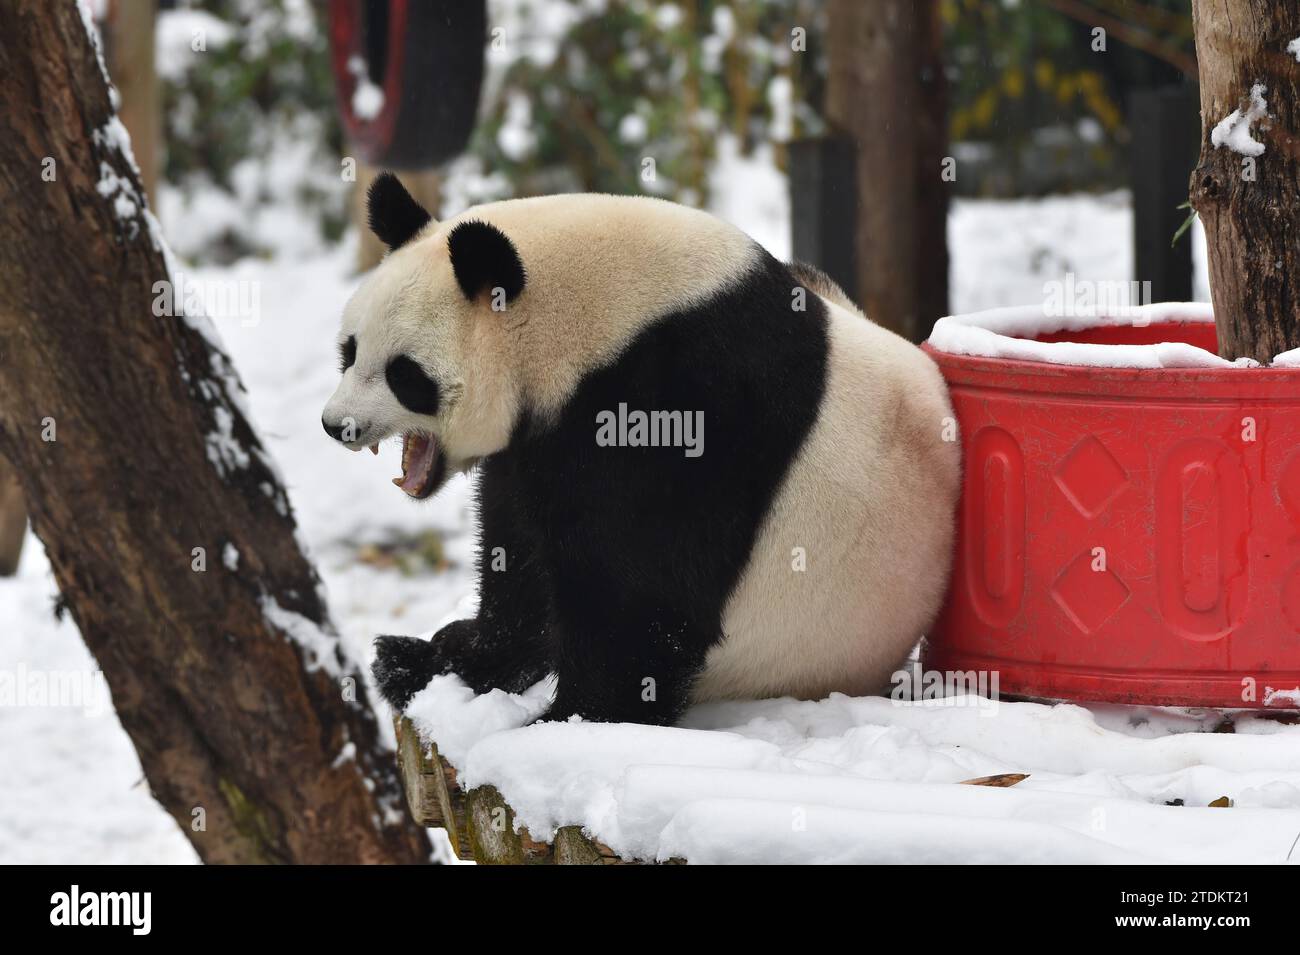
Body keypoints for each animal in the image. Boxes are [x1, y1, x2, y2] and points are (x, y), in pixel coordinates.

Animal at [321, 173, 961, 726]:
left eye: (405, 375)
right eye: (349, 351)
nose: (336, 426)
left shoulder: (677, 406)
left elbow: (639, 596)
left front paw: (570, 721)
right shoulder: (541, 435)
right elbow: (519, 551)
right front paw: (427, 660)